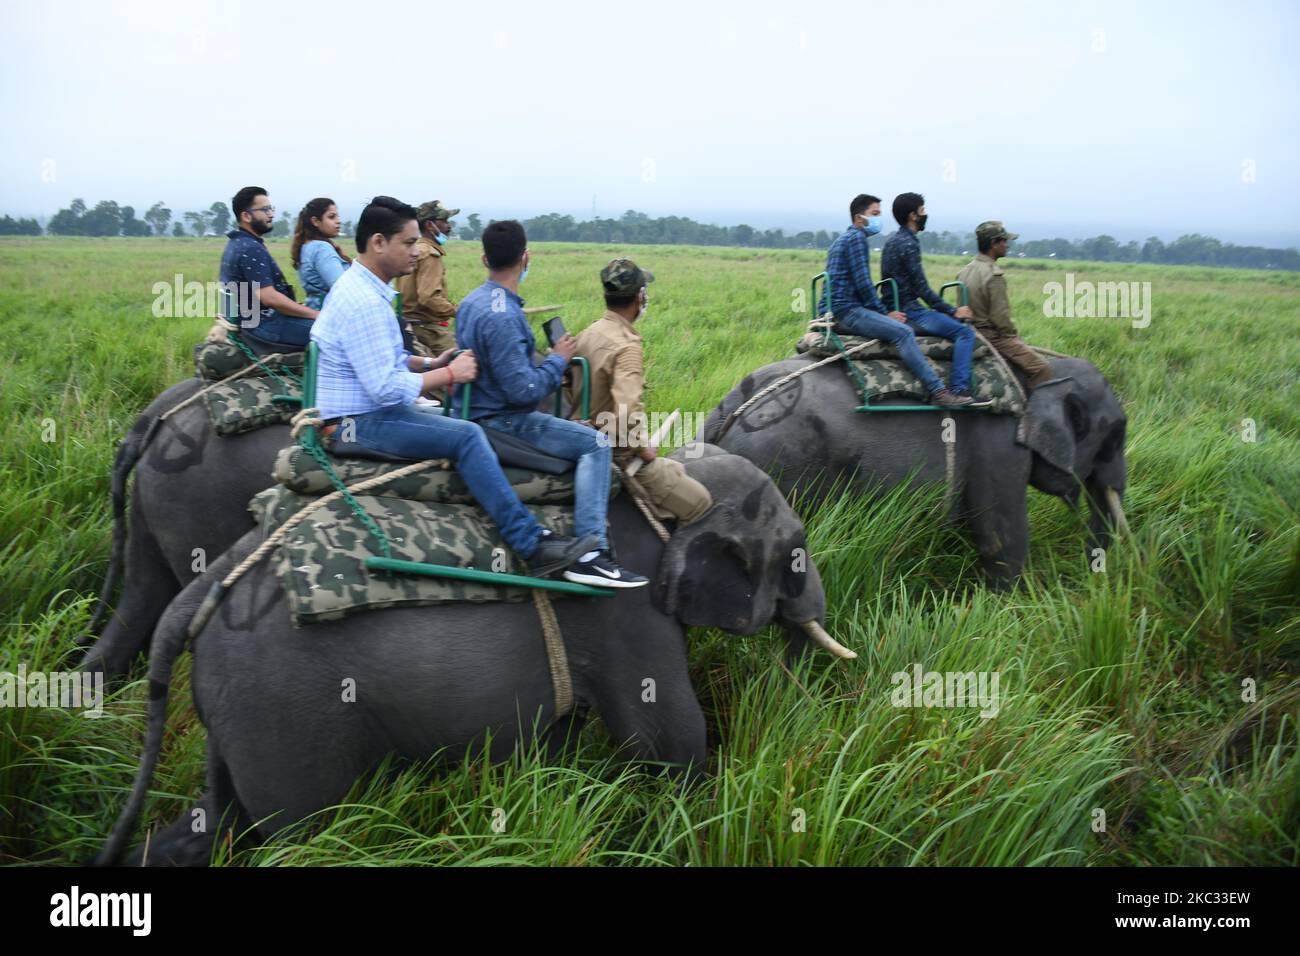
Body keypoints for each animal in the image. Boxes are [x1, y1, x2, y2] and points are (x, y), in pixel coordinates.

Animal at [97, 446, 852, 866]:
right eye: (796, 555)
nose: (807, 717)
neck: (669, 483)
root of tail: (203, 593)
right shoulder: (626, 608)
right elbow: (667, 739)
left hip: (239, 709)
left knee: (219, 826)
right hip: (283, 707)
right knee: (300, 833)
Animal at [696, 353, 1127, 584]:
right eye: (1116, 436)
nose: (1098, 581)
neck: (1044, 368)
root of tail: (735, 402)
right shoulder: (1000, 446)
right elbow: (1001, 539)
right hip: (780, 466)